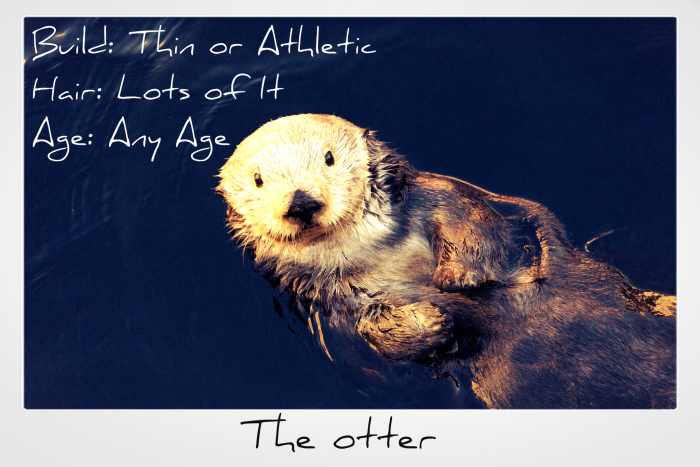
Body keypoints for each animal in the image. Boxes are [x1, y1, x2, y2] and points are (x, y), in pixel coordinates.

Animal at [216, 114, 676, 409]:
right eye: (258, 180)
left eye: (329, 157)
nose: (301, 203)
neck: (367, 248)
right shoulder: (331, 297)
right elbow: (373, 329)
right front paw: (429, 320)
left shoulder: (440, 196)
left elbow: (472, 224)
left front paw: (458, 276)